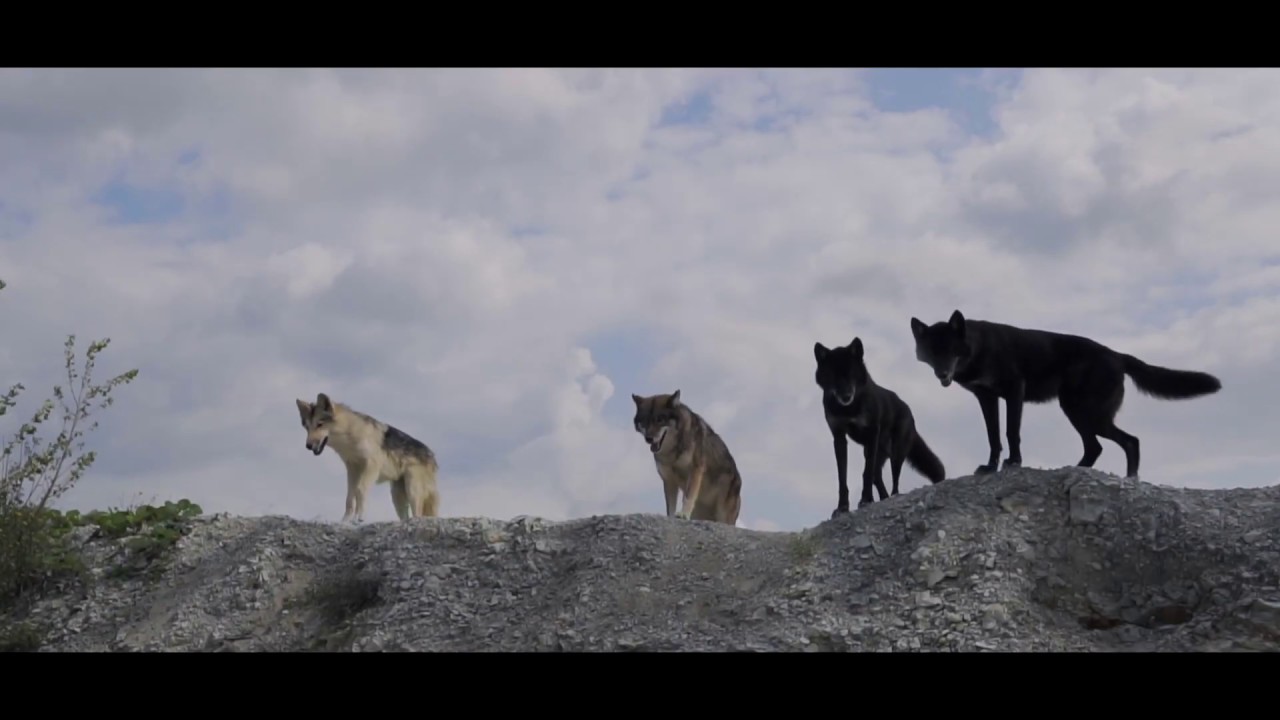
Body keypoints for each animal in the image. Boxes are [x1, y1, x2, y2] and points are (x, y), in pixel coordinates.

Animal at [295, 392, 440, 523]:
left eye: (319, 424)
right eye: (307, 427)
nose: (308, 446)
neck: (350, 435)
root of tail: (432, 456)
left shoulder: (371, 466)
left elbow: (360, 490)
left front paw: (359, 518)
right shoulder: (352, 469)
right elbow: (350, 496)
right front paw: (346, 520)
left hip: (412, 490)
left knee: (418, 514)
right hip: (396, 496)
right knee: (405, 516)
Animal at [631, 390, 743, 525]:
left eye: (660, 419)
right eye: (644, 421)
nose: (649, 439)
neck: (672, 451)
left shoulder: (696, 470)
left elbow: (688, 496)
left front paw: (683, 514)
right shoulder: (668, 480)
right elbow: (670, 507)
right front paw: (671, 518)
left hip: (724, 514)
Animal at [813, 337, 947, 517]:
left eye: (852, 373)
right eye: (832, 375)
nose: (846, 396)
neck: (849, 408)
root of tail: (908, 410)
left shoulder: (871, 434)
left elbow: (866, 473)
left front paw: (866, 500)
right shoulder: (839, 437)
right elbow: (843, 478)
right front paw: (842, 507)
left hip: (895, 453)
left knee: (892, 479)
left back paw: (892, 496)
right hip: (878, 452)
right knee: (877, 476)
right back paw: (883, 498)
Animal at [910, 309, 1223, 480]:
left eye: (951, 350)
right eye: (932, 352)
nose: (942, 374)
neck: (979, 347)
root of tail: (1118, 355)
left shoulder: (1014, 391)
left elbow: (1011, 432)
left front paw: (1014, 463)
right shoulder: (986, 399)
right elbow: (993, 436)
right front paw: (990, 467)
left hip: (1083, 412)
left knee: (1128, 441)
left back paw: (1129, 478)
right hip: (1079, 413)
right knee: (1099, 447)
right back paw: (1082, 470)